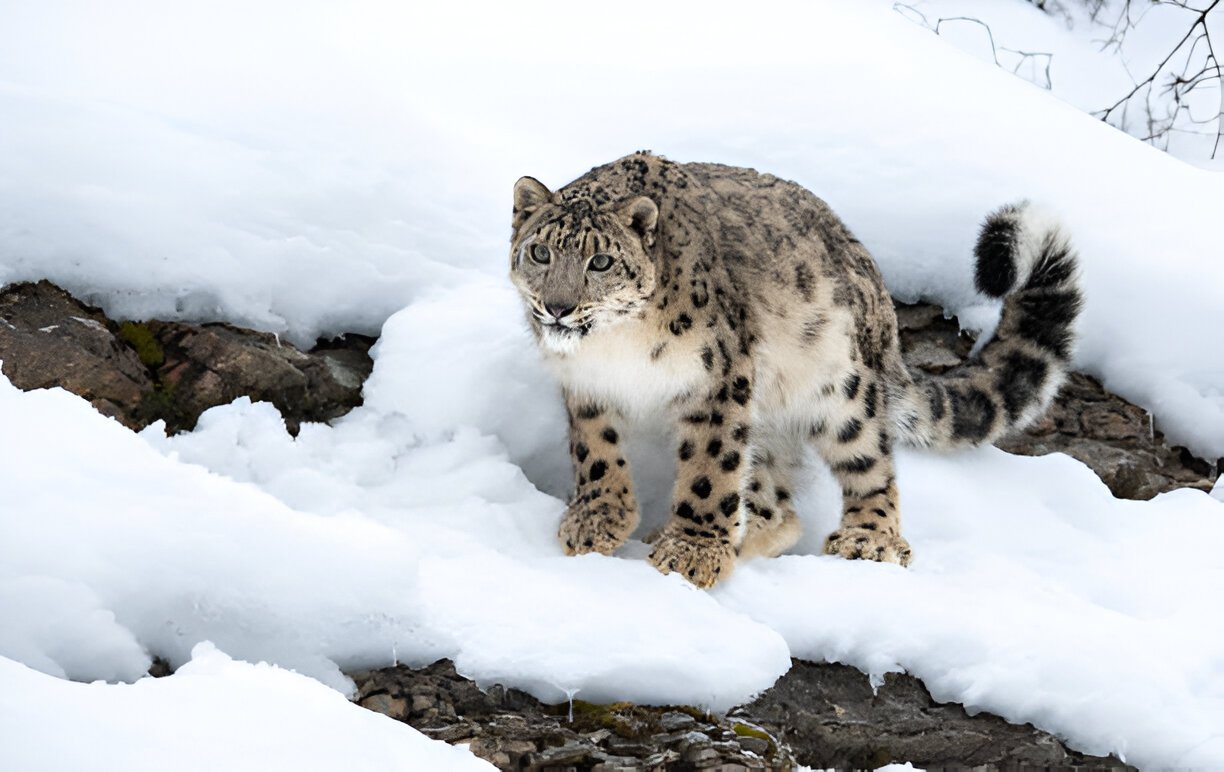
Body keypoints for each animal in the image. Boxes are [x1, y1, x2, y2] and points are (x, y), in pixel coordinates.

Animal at [508, 151, 1081, 588]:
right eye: (540, 253)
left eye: (601, 262)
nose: (557, 307)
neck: (616, 348)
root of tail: (882, 307)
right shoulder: (586, 386)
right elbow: (596, 451)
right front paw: (598, 520)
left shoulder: (718, 379)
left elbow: (709, 471)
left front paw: (692, 551)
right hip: (768, 422)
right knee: (778, 506)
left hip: (839, 390)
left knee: (869, 464)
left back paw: (868, 539)